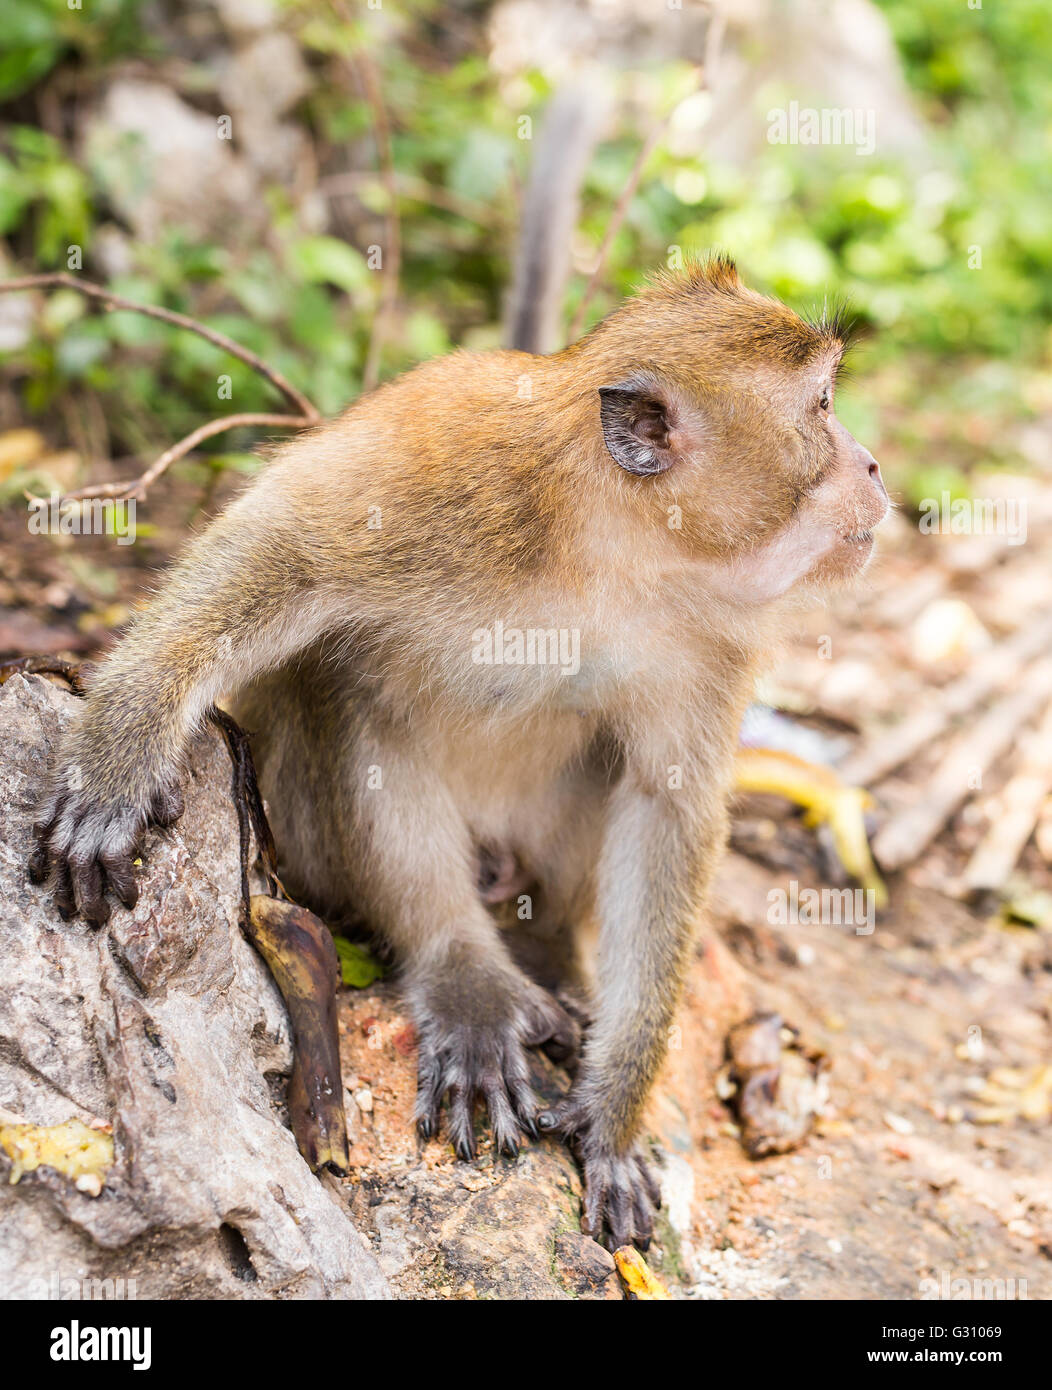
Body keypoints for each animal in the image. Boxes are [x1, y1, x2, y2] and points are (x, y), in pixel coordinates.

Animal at [29, 257, 889, 1250]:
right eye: (821, 406)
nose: (873, 464)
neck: (615, 552)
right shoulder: (447, 463)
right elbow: (272, 554)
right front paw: (119, 752)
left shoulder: (713, 634)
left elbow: (665, 803)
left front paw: (614, 1110)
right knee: (346, 693)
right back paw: (466, 979)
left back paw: (550, 960)